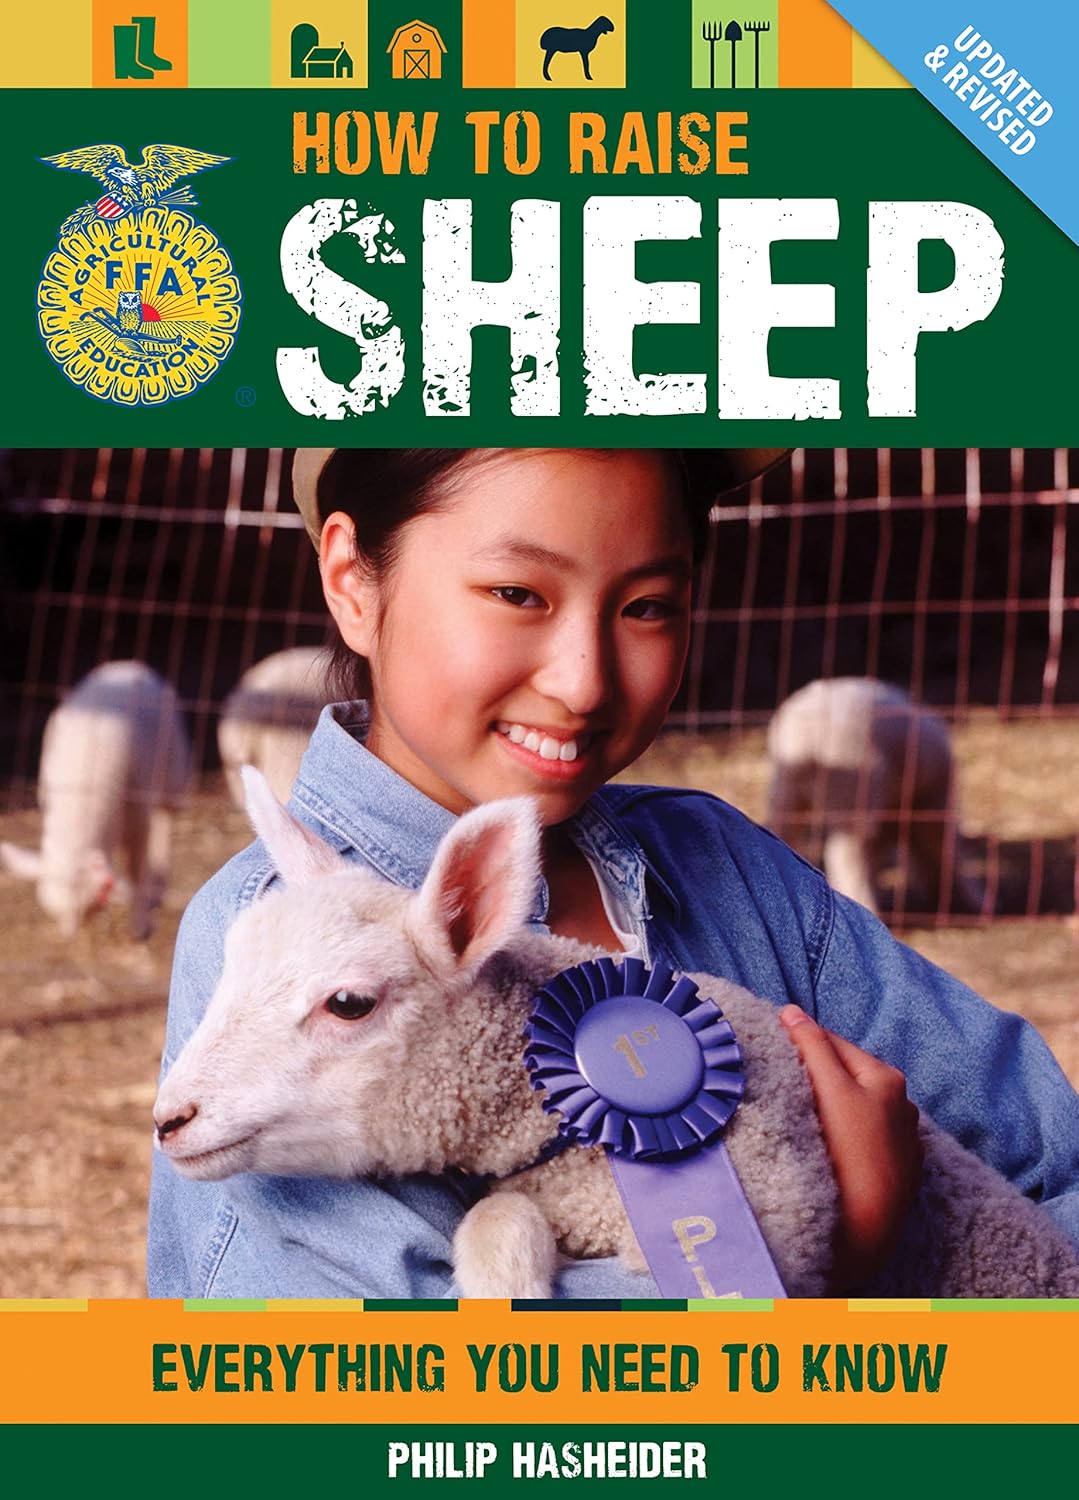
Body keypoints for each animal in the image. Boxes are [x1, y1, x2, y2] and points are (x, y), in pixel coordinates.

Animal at [1, 661, 190, 940]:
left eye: (88, 908)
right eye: (55, 915)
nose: (69, 937)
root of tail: (127, 664)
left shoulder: (137, 816)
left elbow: (137, 867)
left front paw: (139, 924)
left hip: (173, 766)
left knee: (165, 819)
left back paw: (158, 883)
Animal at [766, 677, 984, 918]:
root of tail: (805, 742)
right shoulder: (934, 804)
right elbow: (945, 848)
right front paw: (978, 902)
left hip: (786, 789)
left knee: (781, 828)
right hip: (854, 791)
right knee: (844, 854)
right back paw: (868, 906)